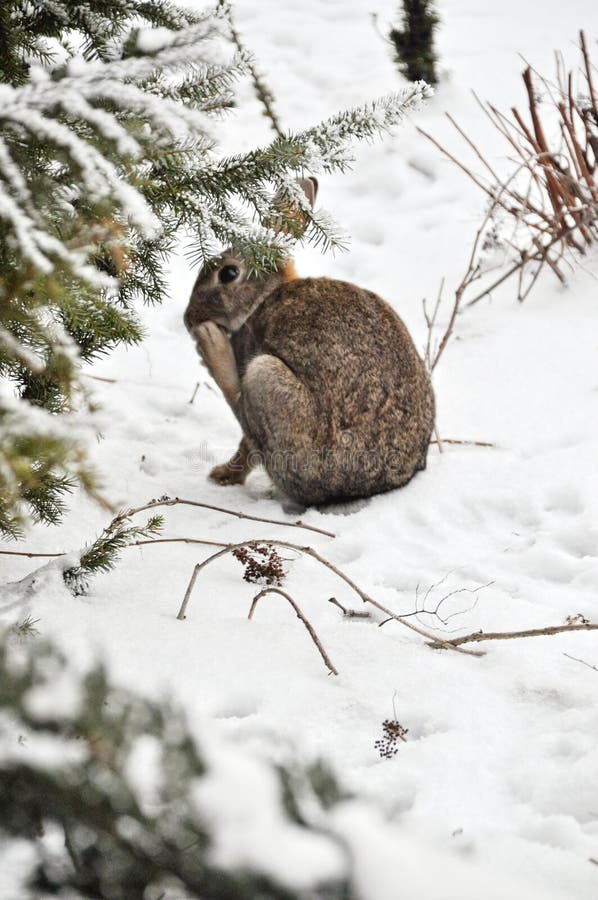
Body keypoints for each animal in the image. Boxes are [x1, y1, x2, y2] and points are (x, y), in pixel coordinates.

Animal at [184, 177, 435, 507]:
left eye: (228, 273)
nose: (189, 319)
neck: (264, 296)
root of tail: (354, 486)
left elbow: (246, 445)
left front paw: (225, 476)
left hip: (266, 378)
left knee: (246, 418)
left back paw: (210, 346)